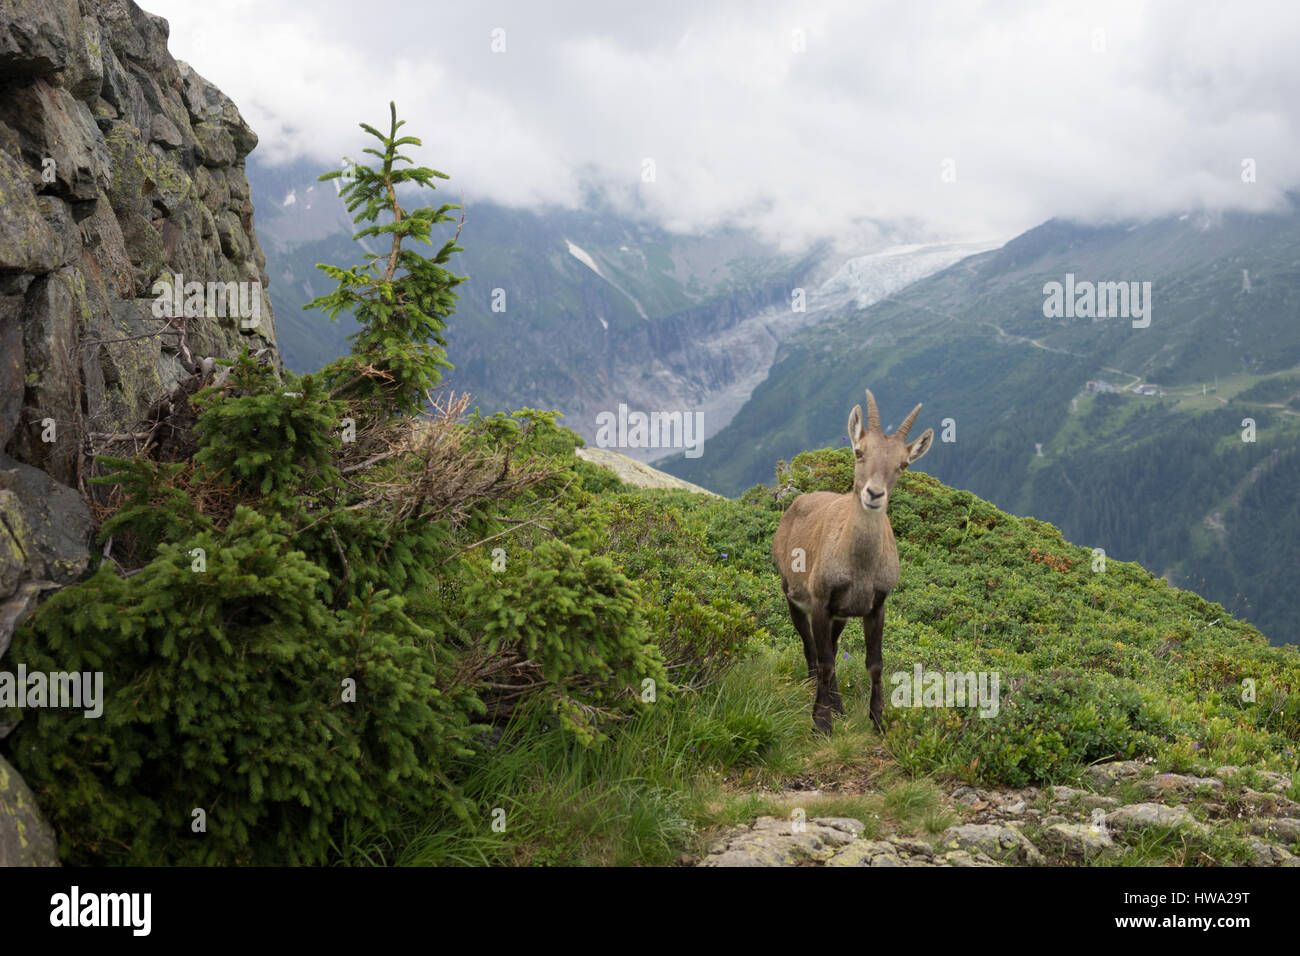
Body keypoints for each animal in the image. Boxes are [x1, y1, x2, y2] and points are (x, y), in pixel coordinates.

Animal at [772, 390, 933, 735]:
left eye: (903, 464)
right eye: (859, 451)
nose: (874, 494)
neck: (859, 566)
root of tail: (798, 500)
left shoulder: (876, 606)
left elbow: (874, 663)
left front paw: (878, 718)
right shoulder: (821, 602)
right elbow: (824, 661)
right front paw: (821, 723)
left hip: (841, 616)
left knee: (830, 649)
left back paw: (839, 706)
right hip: (793, 594)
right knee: (811, 648)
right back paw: (817, 695)